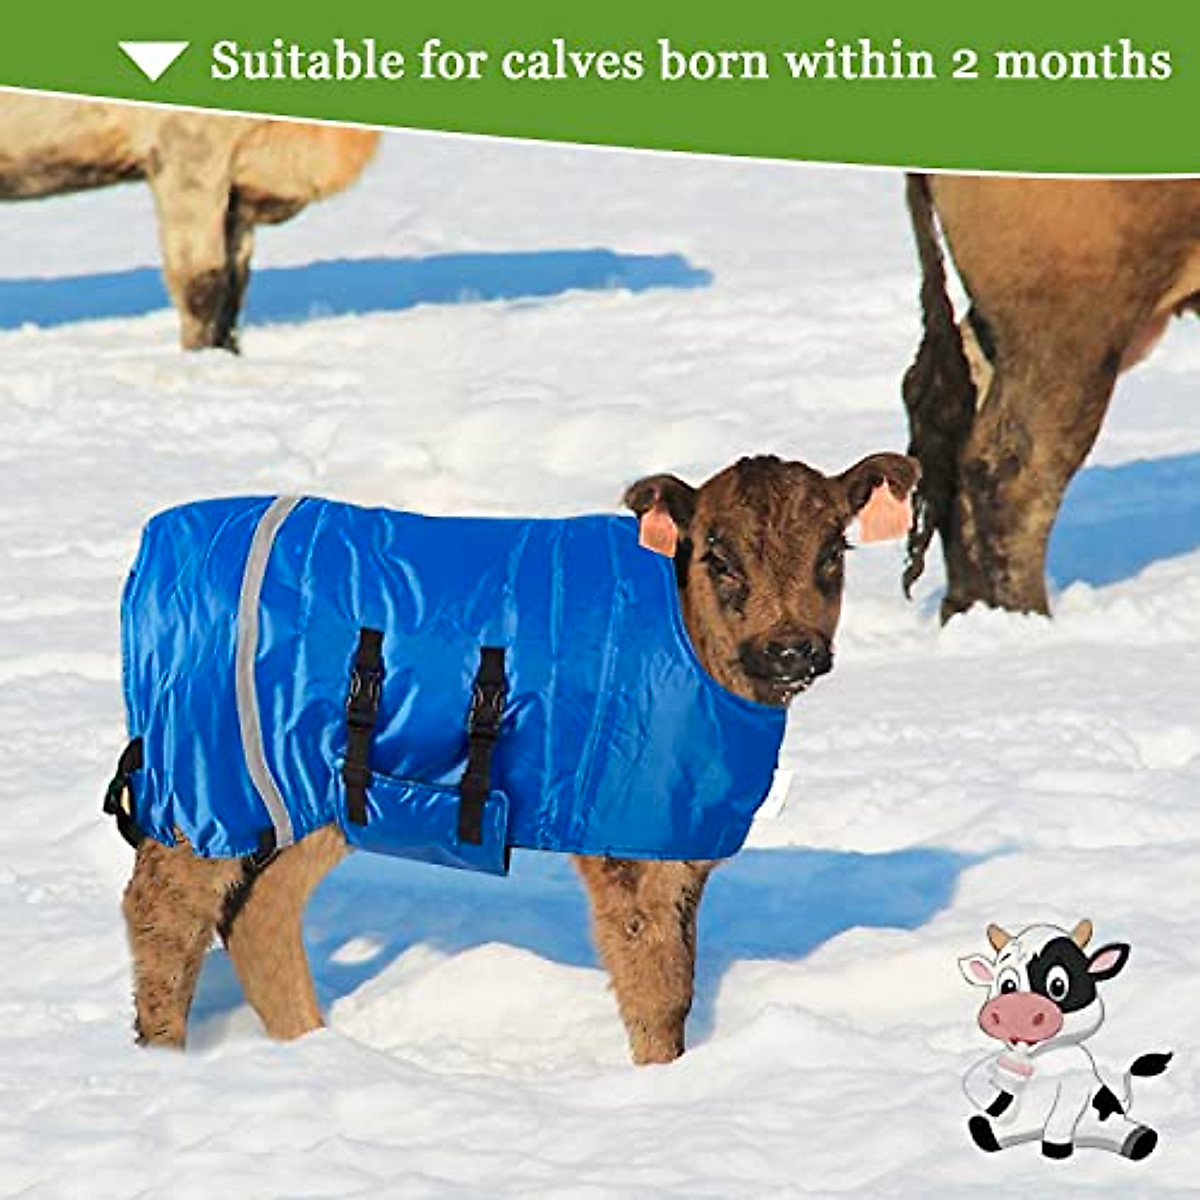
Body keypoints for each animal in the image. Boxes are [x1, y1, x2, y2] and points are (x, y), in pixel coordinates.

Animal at [111, 451, 920, 1064]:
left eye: (834, 553)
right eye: (718, 556)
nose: (791, 650)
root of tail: (156, 541)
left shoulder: (681, 832)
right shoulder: (629, 839)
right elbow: (659, 989)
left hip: (316, 789)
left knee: (261, 910)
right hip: (202, 773)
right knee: (164, 908)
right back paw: (166, 1065)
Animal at [959, 920, 1170, 1160]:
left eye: (1058, 986)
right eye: (1008, 986)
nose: (1017, 1009)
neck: (1043, 1060)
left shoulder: (1074, 1086)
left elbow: (1062, 1117)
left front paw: (1055, 1151)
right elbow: (1000, 1103)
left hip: (1109, 1122)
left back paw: (1140, 1139)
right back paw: (983, 1130)